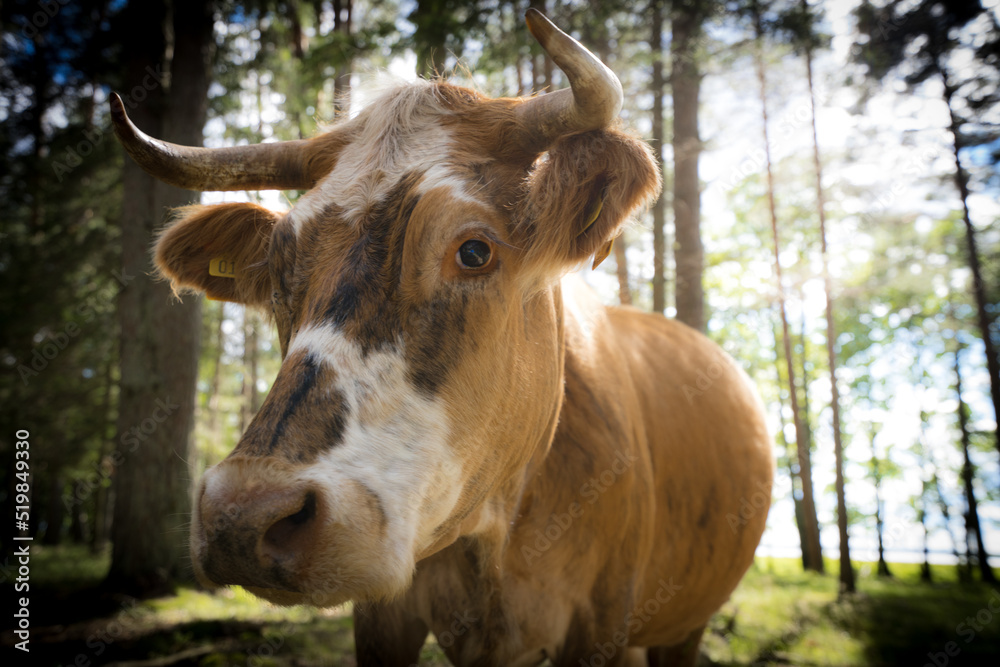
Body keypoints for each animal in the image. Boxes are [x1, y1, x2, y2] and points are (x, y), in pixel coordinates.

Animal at [111, 9, 772, 667]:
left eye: (474, 251)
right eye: (278, 270)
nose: (244, 514)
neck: (496, 538)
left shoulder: (603, 625)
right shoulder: (383, 621)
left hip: (682, 624)